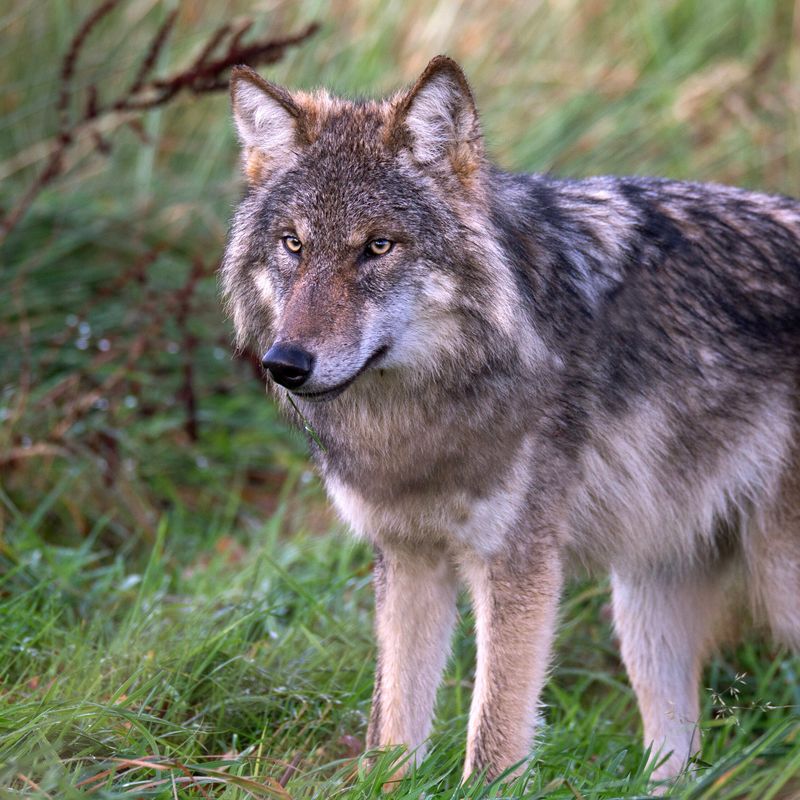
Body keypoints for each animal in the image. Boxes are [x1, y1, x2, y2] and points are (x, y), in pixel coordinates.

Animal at [220, 55, 800, 785]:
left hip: (771, 579)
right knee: (677, 759)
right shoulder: (408, 559)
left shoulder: (518, 564)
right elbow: (392, 735)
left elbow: (493, 740)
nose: (285, 364)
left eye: (377, 246)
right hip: (647, 600)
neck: (416, 419)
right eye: (292, 244)